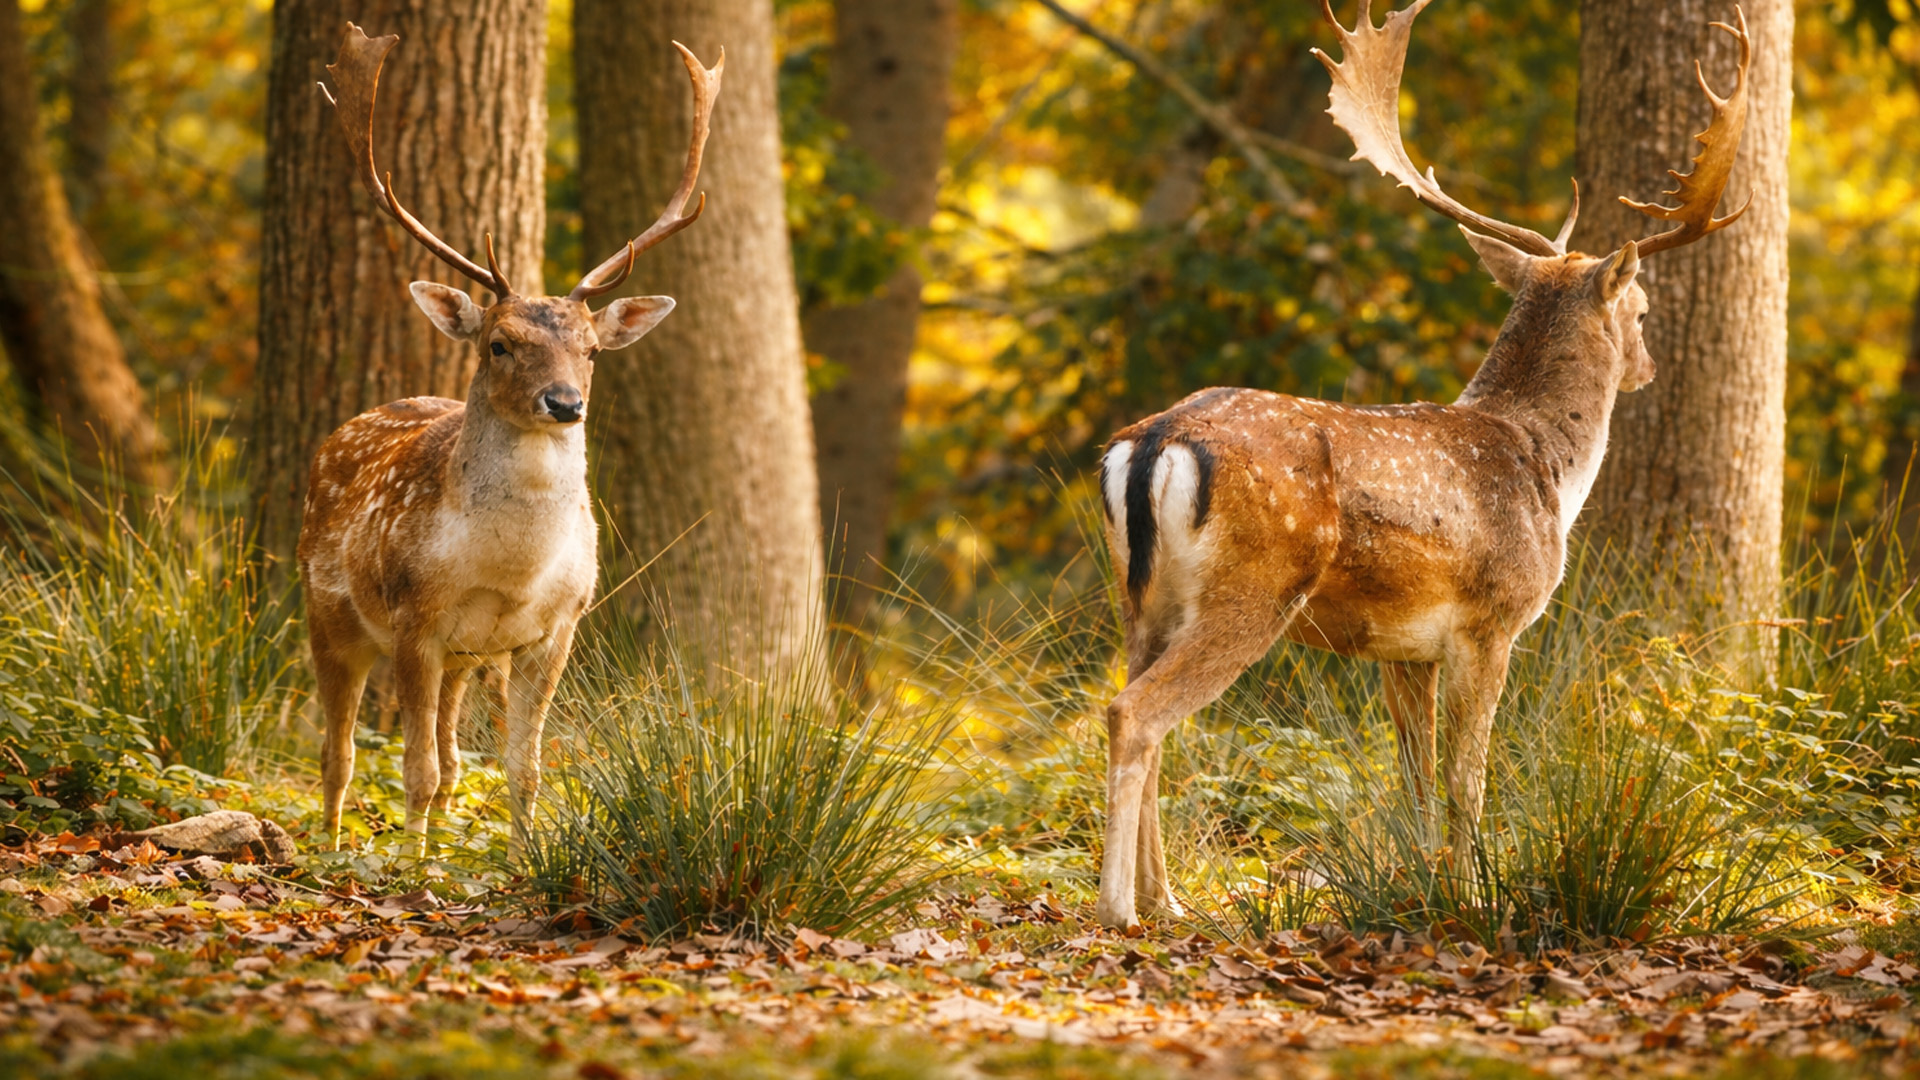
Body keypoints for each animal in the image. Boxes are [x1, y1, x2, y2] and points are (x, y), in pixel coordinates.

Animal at [298, 24, 723, 855]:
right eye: (500, 343)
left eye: (590, 349)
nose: (565, 403)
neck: (509, 573)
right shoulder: (415, 619)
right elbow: (415, 769)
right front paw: (412, 869)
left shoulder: (555, 628)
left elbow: (521, 771)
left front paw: (525, 862)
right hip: (327, 611)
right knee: (338, 753)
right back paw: (330, 849)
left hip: (464, 659)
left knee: (455, 759)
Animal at [1092, 0, 1753, 928]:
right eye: (1645, 308)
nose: (1650, 364)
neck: (1549, 469)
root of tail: (1153, 443)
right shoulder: (1493, 620)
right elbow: (1468, 778)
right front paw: (1475, 896)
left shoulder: (1402, 649)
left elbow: (1413, 780)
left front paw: (1420, 885)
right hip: (1253, 590)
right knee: (1136, 714)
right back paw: (1121, 907)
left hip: (1142, 598)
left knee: (1146, 710)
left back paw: (1171, 899)